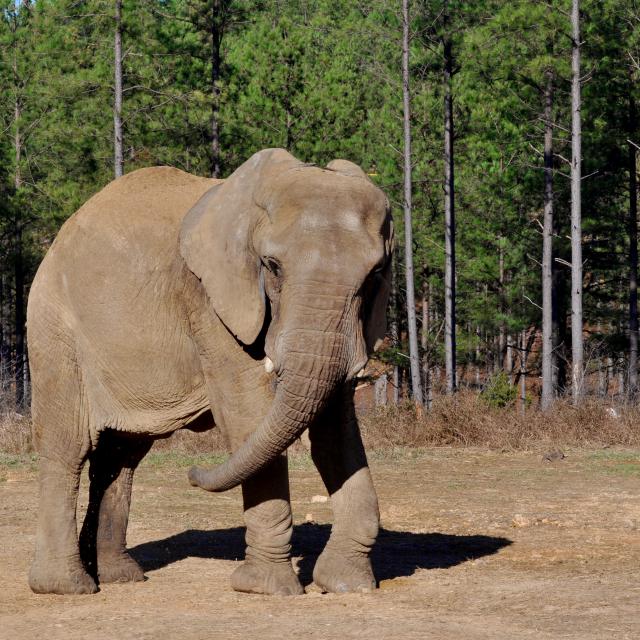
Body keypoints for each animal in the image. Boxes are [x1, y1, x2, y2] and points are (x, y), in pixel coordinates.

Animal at [27, 148, 393, 597]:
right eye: (272, 266)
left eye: (375, 274)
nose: (192, 474)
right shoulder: (210, 301)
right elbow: (246, 412)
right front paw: (266, 589)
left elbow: (335, 428)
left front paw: (347, 583)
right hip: (54, 328)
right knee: (69, 446)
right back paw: (68, 586)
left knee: (121, 455)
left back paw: (119, 575)